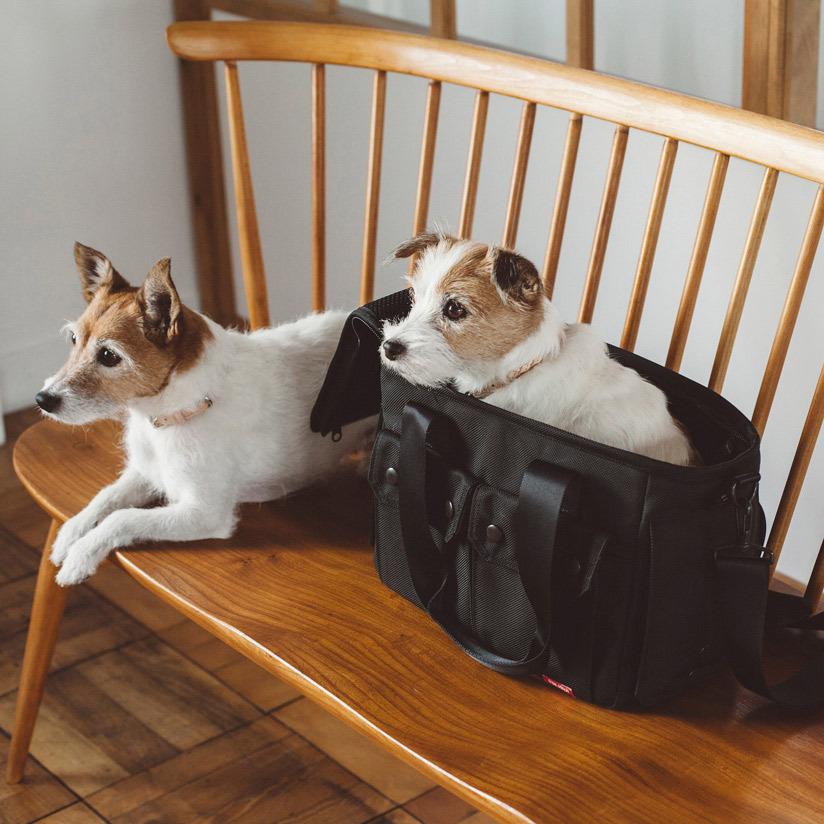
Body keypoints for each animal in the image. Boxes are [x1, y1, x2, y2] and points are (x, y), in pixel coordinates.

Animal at [37, 245, 374, 584]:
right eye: (74, 339)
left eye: (108, 356)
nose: (42, 399)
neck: (173, 413)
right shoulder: (146, 472)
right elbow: (105, 497)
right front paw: (70, 534)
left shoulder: (205, 513)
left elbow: (123, 517)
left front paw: (81, 554)